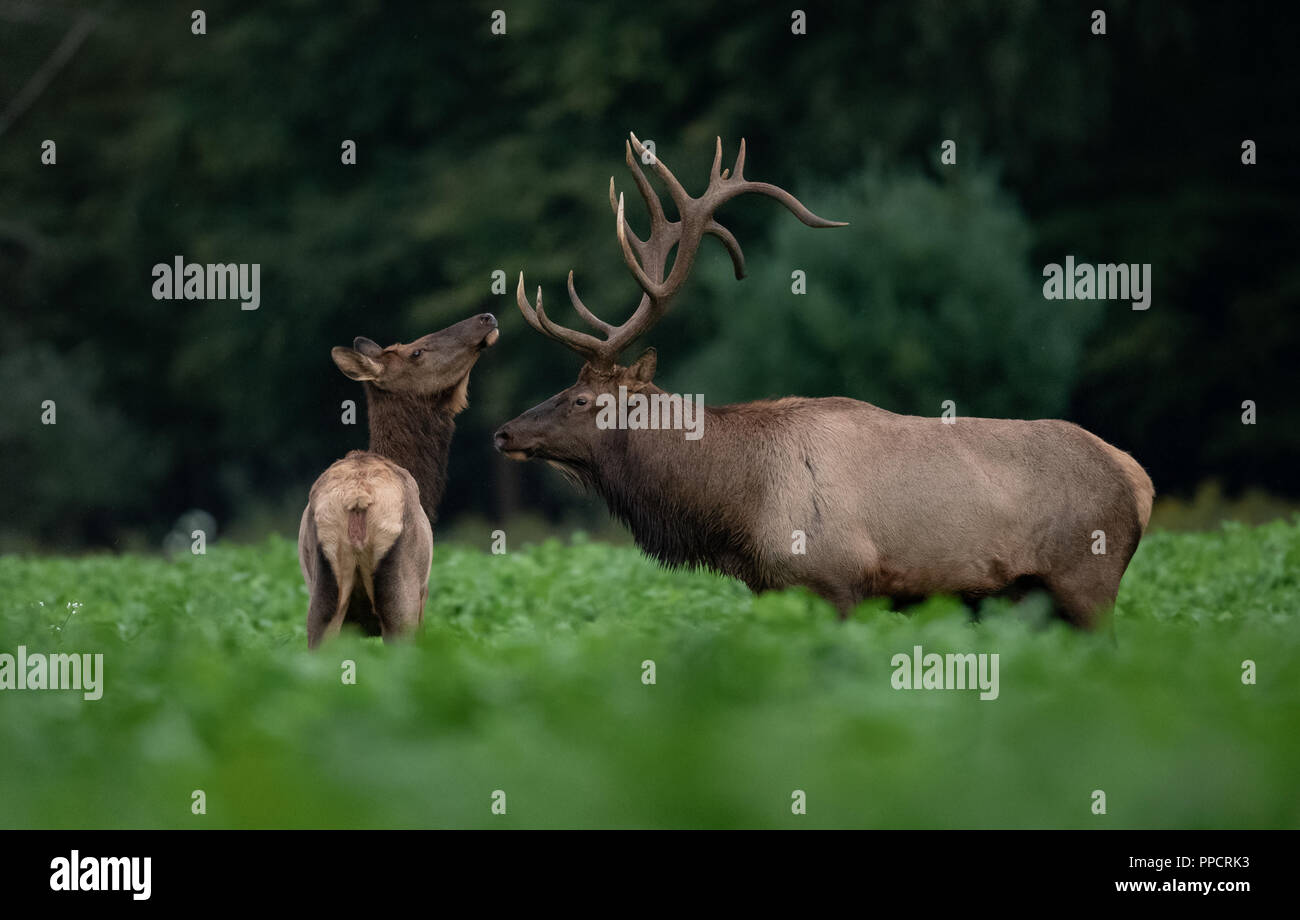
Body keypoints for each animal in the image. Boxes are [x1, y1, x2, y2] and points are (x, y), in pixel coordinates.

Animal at [299, 313, 499, 648]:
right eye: (416, 352)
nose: (486, 318)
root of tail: (358, 501)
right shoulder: (423, 596)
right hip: (401, 594)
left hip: (323, 596)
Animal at [493, 134, 1153, 629]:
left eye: (580, 398)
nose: (503, 433)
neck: (737, 507)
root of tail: (1137, 478)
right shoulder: (773, 591)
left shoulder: (835, 582)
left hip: (1086, 581)